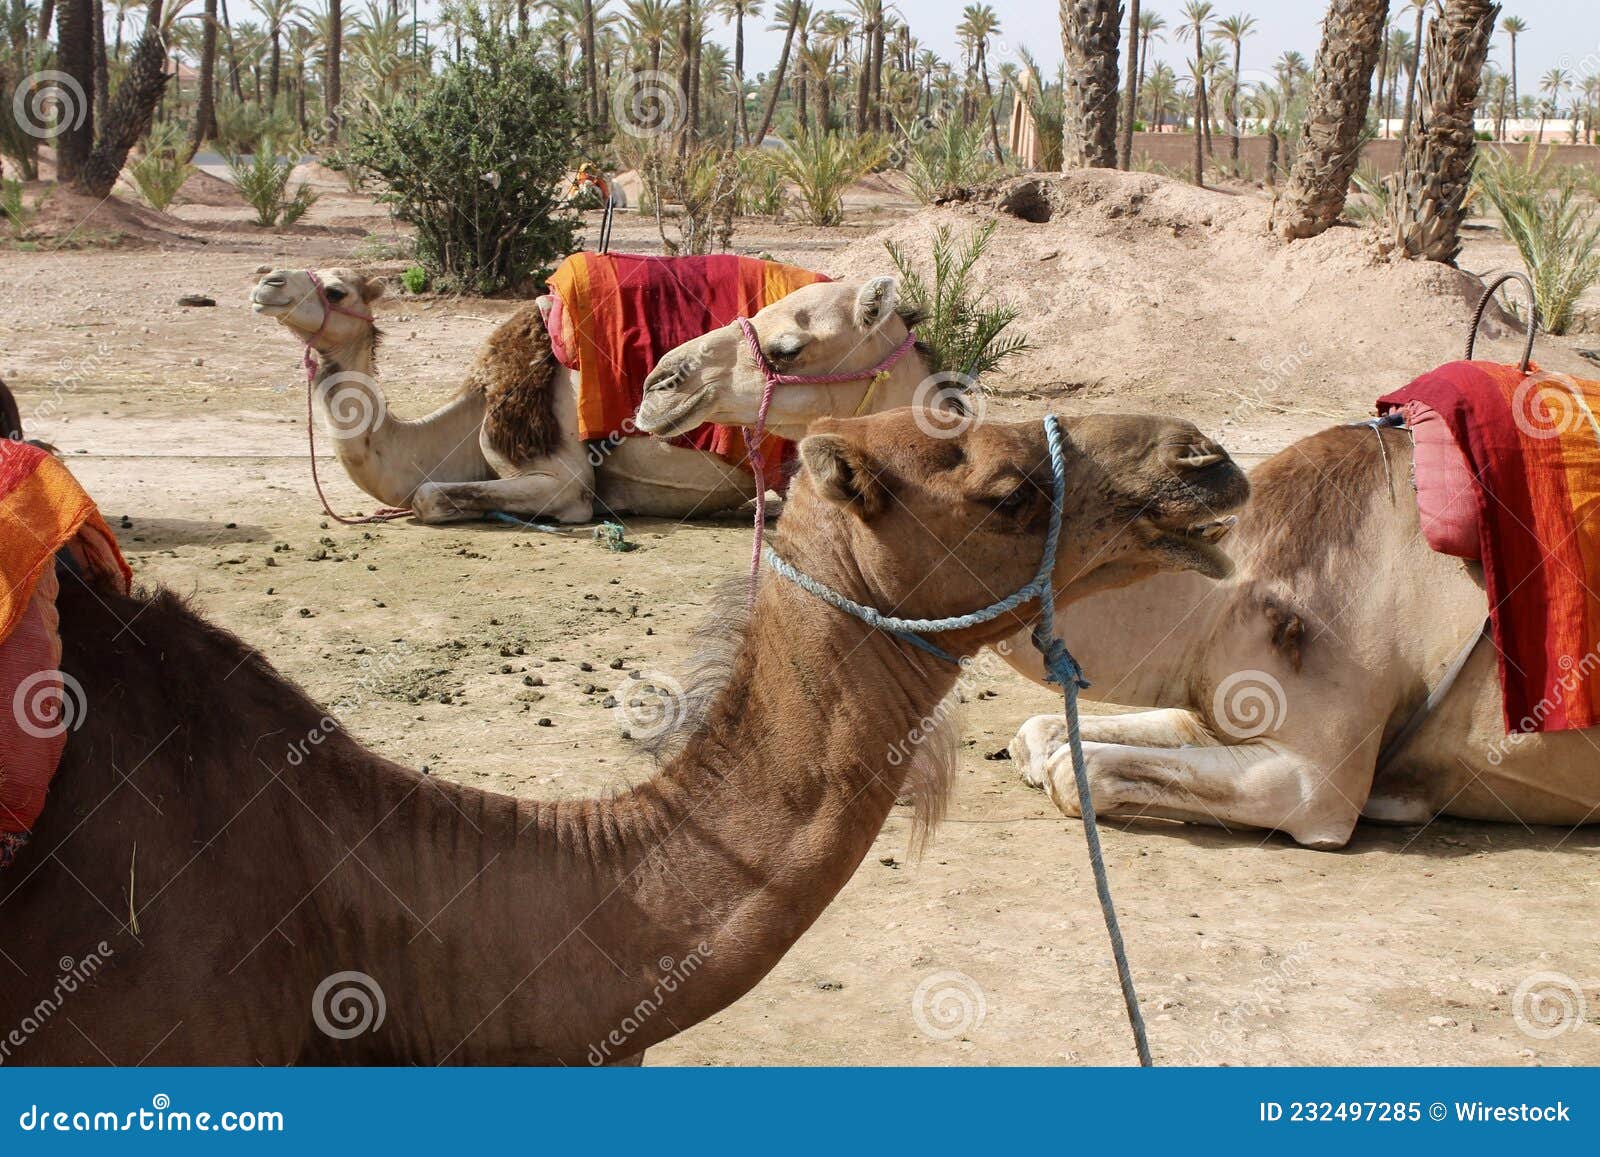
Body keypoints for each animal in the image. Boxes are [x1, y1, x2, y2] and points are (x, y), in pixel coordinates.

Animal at [635, 333, 1600, 849]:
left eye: (789, 340)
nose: (658, 382)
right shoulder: (1212, 705)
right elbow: (1044, 738)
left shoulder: (1317, 785)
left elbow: (1076, 771)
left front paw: (1403, 797)